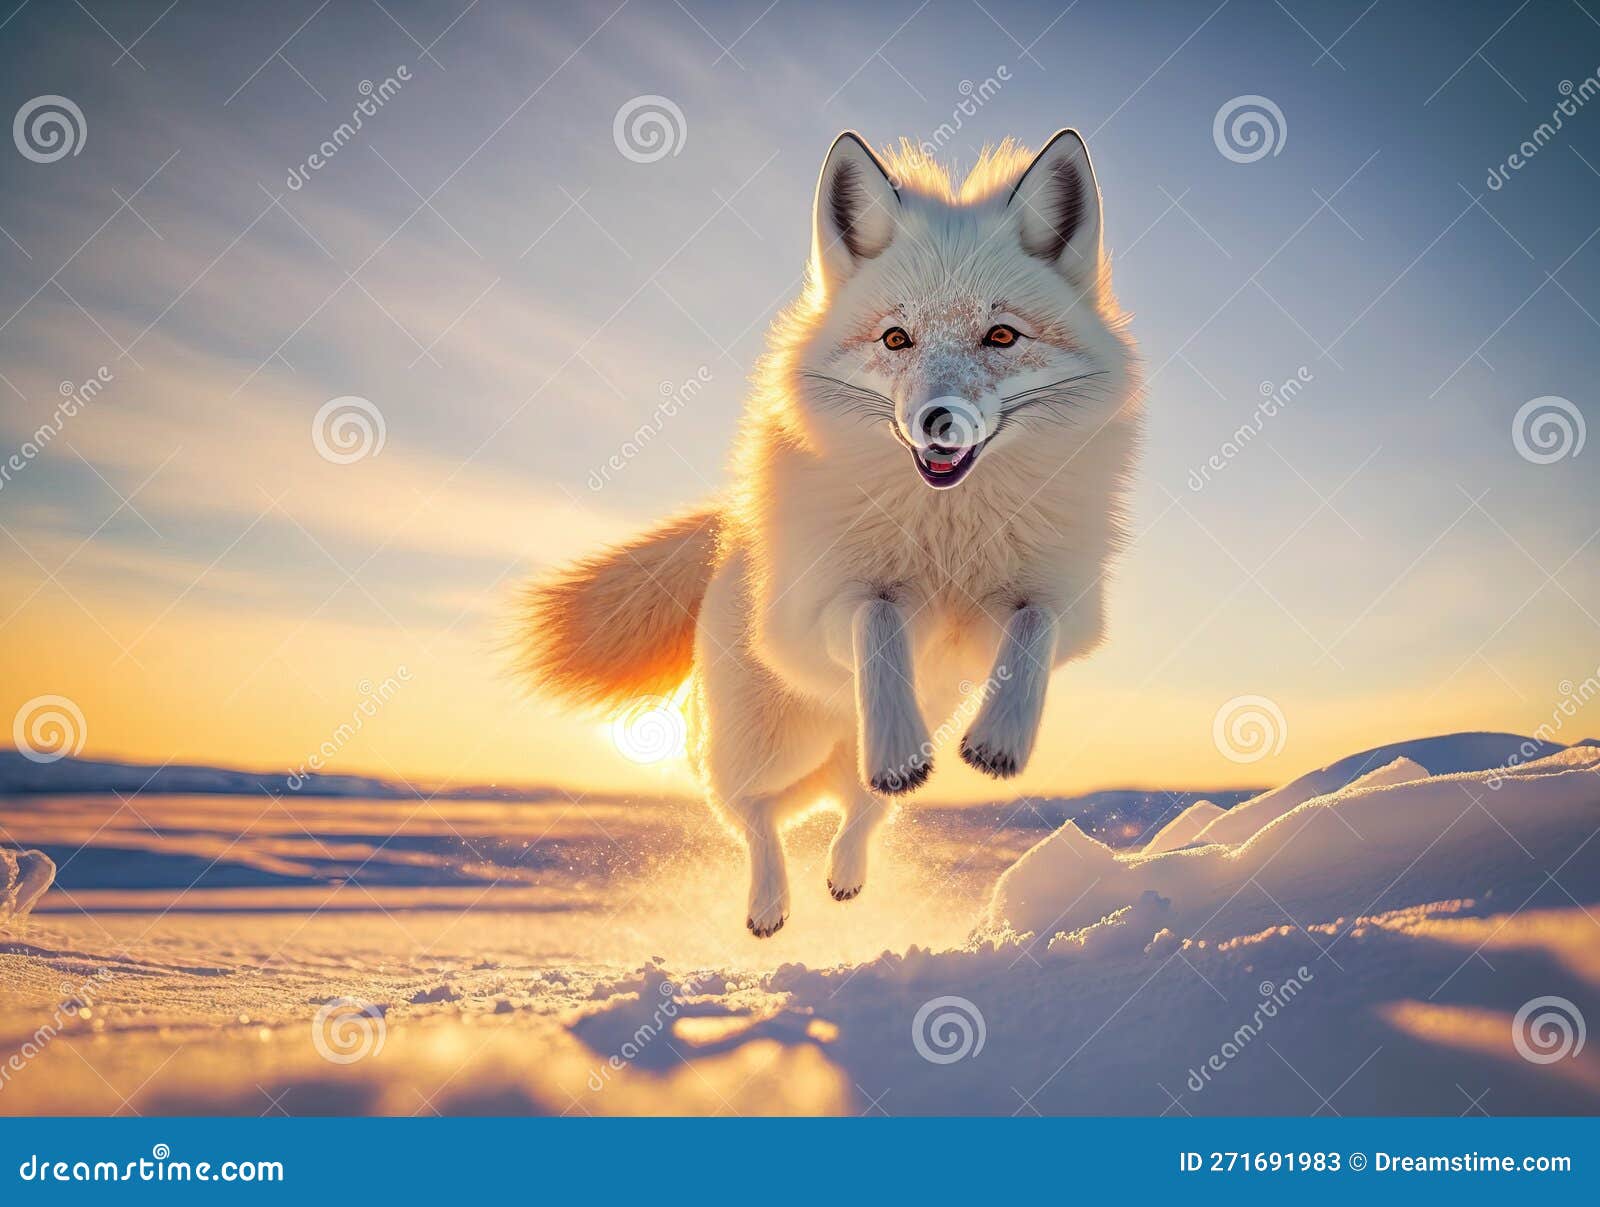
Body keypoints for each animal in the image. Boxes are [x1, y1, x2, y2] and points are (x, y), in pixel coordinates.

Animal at [518, 129, 1142, 937]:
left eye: (1001, 335)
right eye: (896, 338)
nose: (938, 420)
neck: (947, 531)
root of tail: (731, 535)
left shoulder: (1048, 615)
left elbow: (1031, 630)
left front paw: (998, 739)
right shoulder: (820, 612)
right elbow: (878, 620)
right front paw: (897, 742)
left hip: (844, 765)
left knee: (861, 813)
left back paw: (845, 873)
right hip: (762, 750)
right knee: (751, 818)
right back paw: (769, 904)